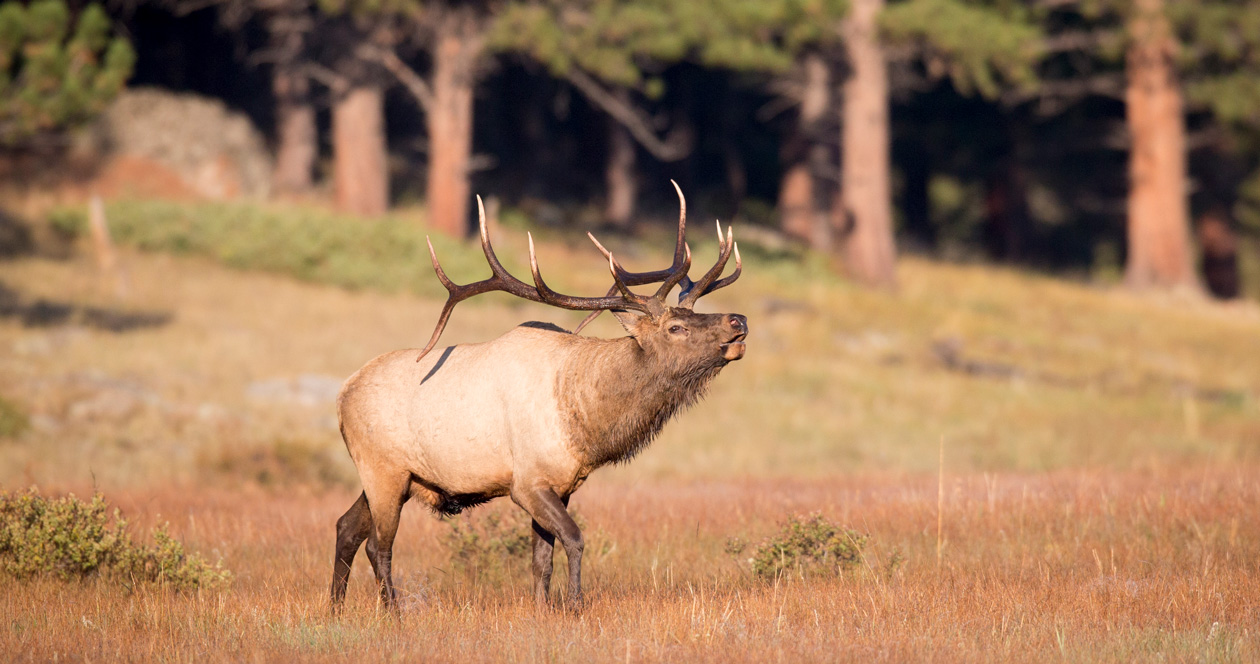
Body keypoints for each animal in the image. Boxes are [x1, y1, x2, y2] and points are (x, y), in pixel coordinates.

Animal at [330, 183, 746, 612]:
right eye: (675, 327)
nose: (738, 320)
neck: (585, 424)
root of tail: (342, 395)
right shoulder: (527, 483)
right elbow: (575, 539)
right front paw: (575, 604)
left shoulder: (563, 485)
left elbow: (541, 560)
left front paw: (543, 609)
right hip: (383, 469)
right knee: (378, 546)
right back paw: (393, 614)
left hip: (393, 476)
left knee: (346, 527)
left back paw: (336, 609)